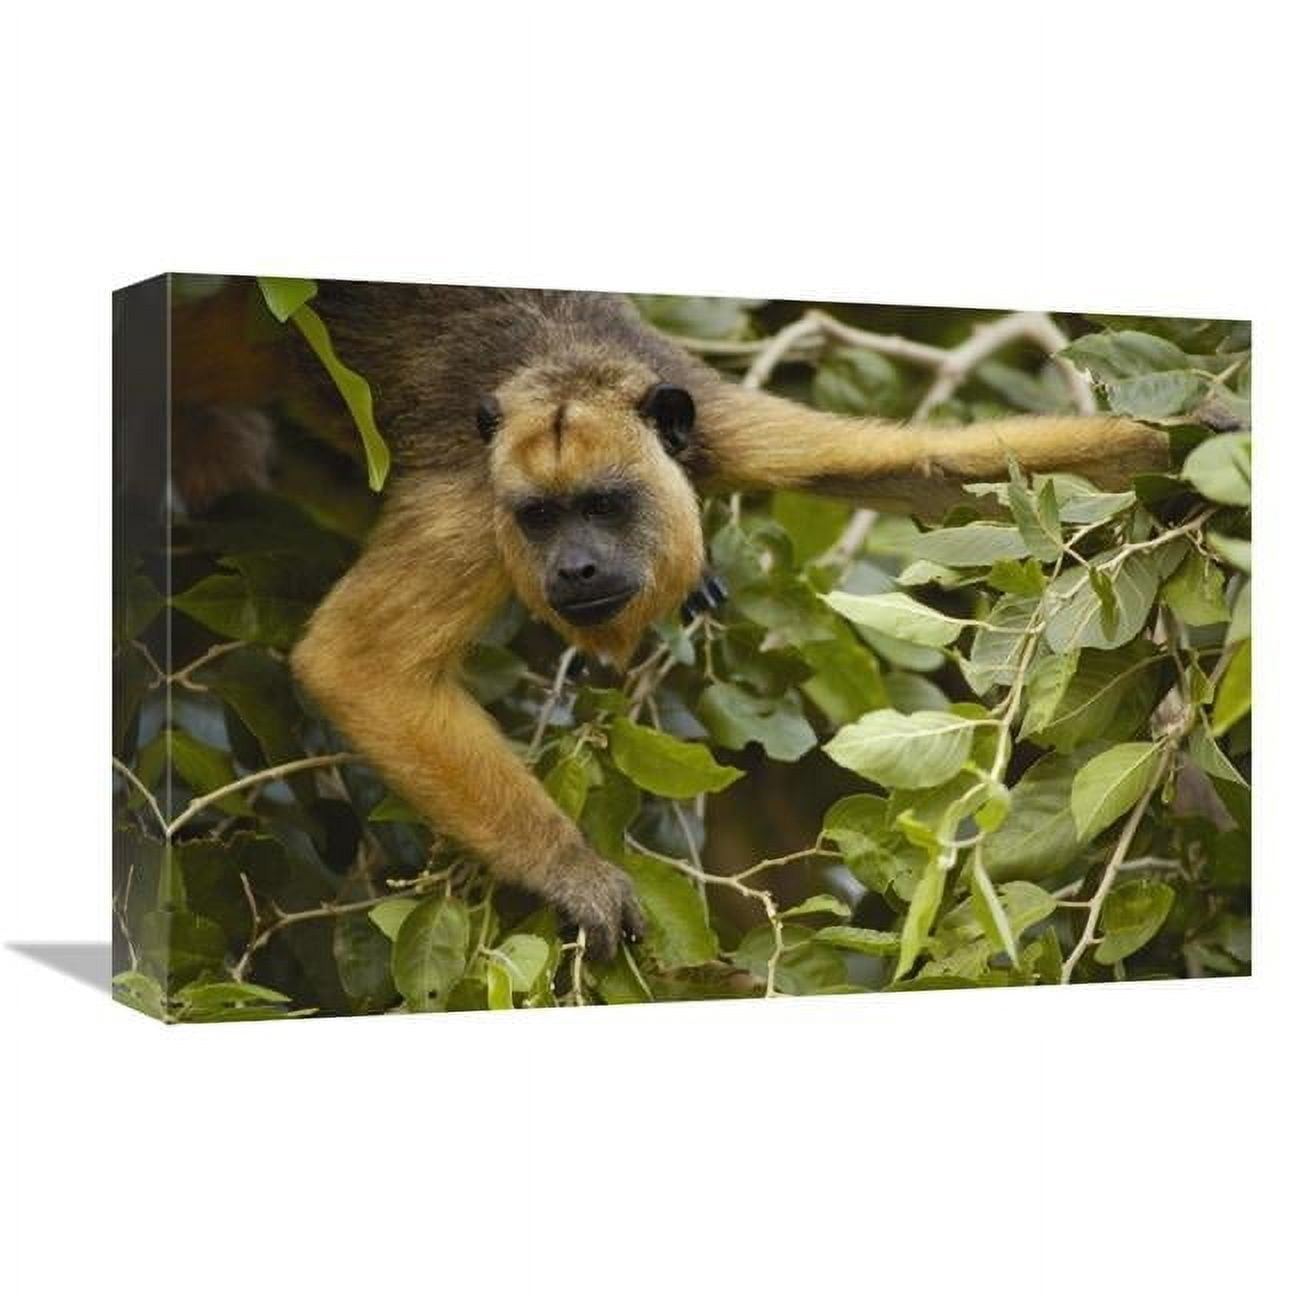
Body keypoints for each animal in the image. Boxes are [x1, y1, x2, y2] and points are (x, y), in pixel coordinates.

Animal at [271, 281, 1168, 960]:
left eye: (605, 505)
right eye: (538, 518)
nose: (574, 569)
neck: (562, 367)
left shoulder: (712, 424)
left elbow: (929, 470)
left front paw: (1189, 447)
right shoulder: (472, 504)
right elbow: (356, 663)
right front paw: (572, 874)